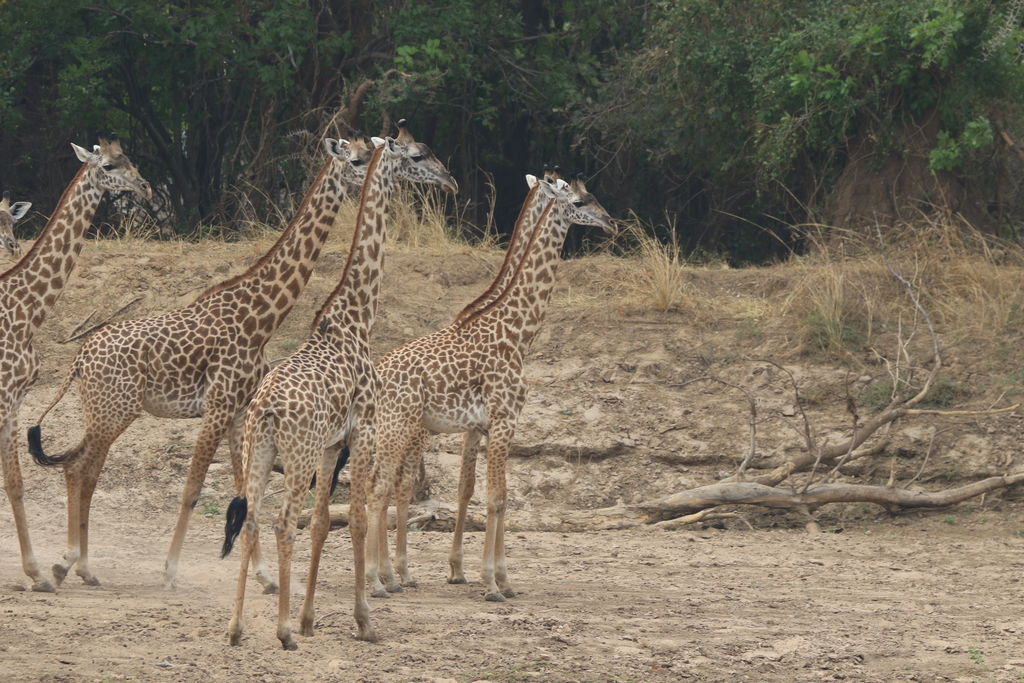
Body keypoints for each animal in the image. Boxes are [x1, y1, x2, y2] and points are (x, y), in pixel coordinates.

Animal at [2, 136, 150, 592]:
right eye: (108, 165)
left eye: (130, 158)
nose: (146, 188)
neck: (26, 310)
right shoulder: (3, 397)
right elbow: (13, 481)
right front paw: (40, 572)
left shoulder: (16, 400)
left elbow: (15, 483)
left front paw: (39, 573)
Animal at [27, 134, 373, 591]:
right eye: (356, 160)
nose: (372, 176)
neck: (260, 316)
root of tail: (79, 358)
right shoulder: (217, 407)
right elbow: (193, 487)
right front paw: (170, 571)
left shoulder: (238, 412)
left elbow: (244, 492)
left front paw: (266, 576)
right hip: (113, 412)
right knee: (79, 470)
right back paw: (67, 565)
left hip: (103, 412)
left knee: (78, 468)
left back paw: (80, 566)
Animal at [221, 120, 457, 649]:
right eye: (418, 154)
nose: (450, 181)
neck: (356, 318)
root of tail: (266, 410)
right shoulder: (363, 431)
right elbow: (359, 518)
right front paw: (363, 619)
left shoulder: (334, 444)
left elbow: (323, 523)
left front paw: (311, 618)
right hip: (298, 454)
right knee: (282, 522)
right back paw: (282, 631)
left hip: (260, 452)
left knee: (252, 520)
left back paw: (236, 627)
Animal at [366, 173, 613, 601]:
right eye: (581, 201)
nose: (611, 222)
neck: (518, 333)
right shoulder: (502, 419)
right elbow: (495, 497)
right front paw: (490, 581)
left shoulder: (482, 426)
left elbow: (483, 493)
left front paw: (492, 577)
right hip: (401, 429)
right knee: (381, 490)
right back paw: (382, 580)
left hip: (395, 431)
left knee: (375, 488)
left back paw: (385, 576)